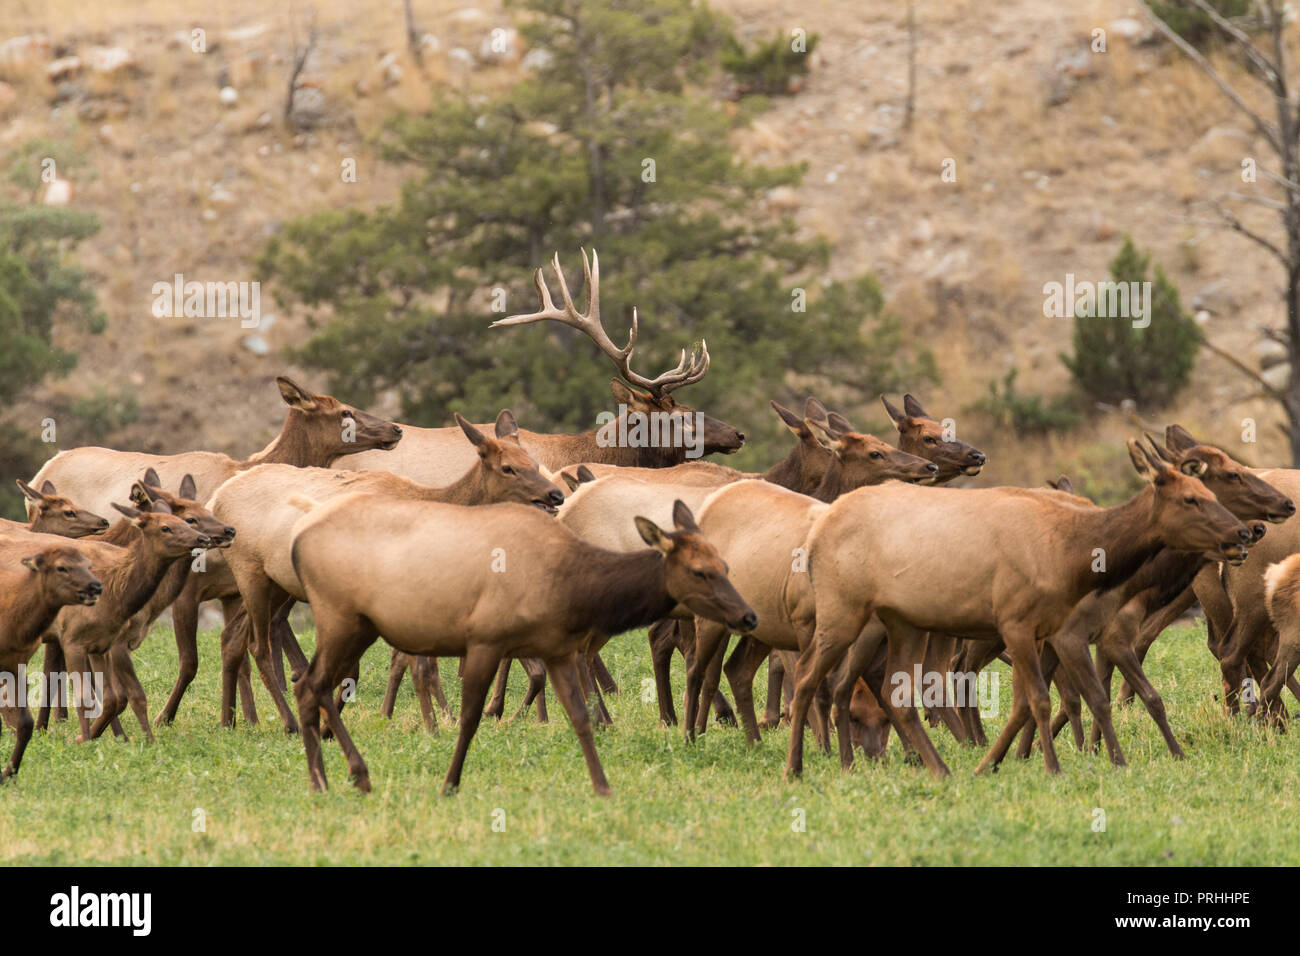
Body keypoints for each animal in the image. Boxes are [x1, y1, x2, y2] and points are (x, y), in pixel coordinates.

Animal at [0, 542, 101, 782]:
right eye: (61, 567)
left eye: (88, 564)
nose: (95, 587)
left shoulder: (16, 664)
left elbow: (26, 723)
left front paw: (8, 774)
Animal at [208, 411, 563, 732]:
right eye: (508, 468)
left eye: (534, 462)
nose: (557, 494)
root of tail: (218, 497)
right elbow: (393, 667)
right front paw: (429, 724)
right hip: (250, 570)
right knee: (258, 646)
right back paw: (288, 722)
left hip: (275, 583)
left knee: (232, 638)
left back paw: (230, 719)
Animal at [288, 496, 755, 795]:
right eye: (699, 571)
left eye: (726, 565)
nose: (748, 616)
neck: (572, 588)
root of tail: (296, 542)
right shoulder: (484, 640)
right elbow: (470, 719)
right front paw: (450, 783)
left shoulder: (557, 649)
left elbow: (581, 717)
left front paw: (603, 786)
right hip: (340, 616)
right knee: (311, 683)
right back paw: (340, 777)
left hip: (360, 625)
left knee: (314, 686)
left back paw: (329, 778)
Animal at [786, 440, 1252, 780]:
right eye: (1190, 499)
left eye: (1210, 493)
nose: (1243, 532)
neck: (1071, 553)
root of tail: (817, 531)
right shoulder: (1017, 623)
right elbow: (1043, 701)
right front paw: (1053, 766)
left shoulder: (1049, 629)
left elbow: (1061, 699)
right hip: (842, 611)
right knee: (808, 676)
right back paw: (797, 768)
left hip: (904, 623)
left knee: (894, 694)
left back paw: (941, 769)